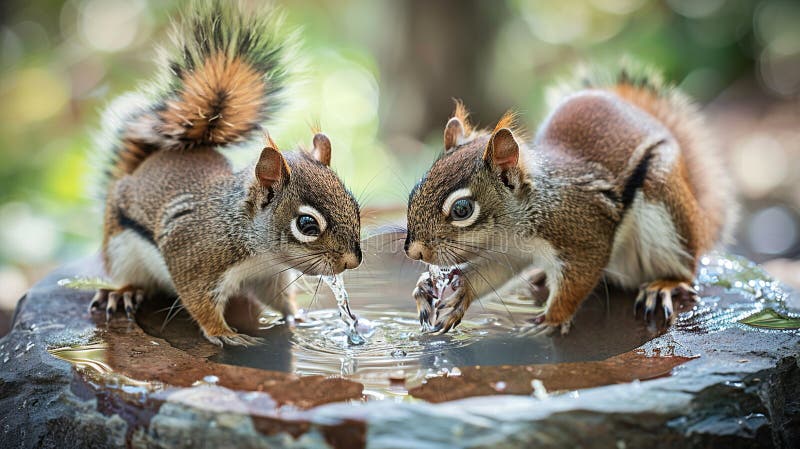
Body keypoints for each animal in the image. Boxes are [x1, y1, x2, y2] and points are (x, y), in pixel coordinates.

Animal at [89, 1, 362, 346]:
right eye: (306, 224)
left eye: (356, 207)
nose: (353, 261)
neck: (257, 249)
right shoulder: (193, 258)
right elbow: (199, 302)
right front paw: (227, 334)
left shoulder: (267, 276)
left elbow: (278, 299)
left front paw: (297, 317)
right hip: (120, 245)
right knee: (128, 276)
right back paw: (123, 292)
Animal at [405, 63, 736, 334]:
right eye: (414, 190)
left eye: (462, 209)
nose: (414, 251)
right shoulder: (511, 253)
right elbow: (493, 272)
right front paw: (457, 291)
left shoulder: (584, 233)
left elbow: (579, 279)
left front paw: (551, 320)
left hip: (665, 199)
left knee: (686, 269)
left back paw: (665, 285)